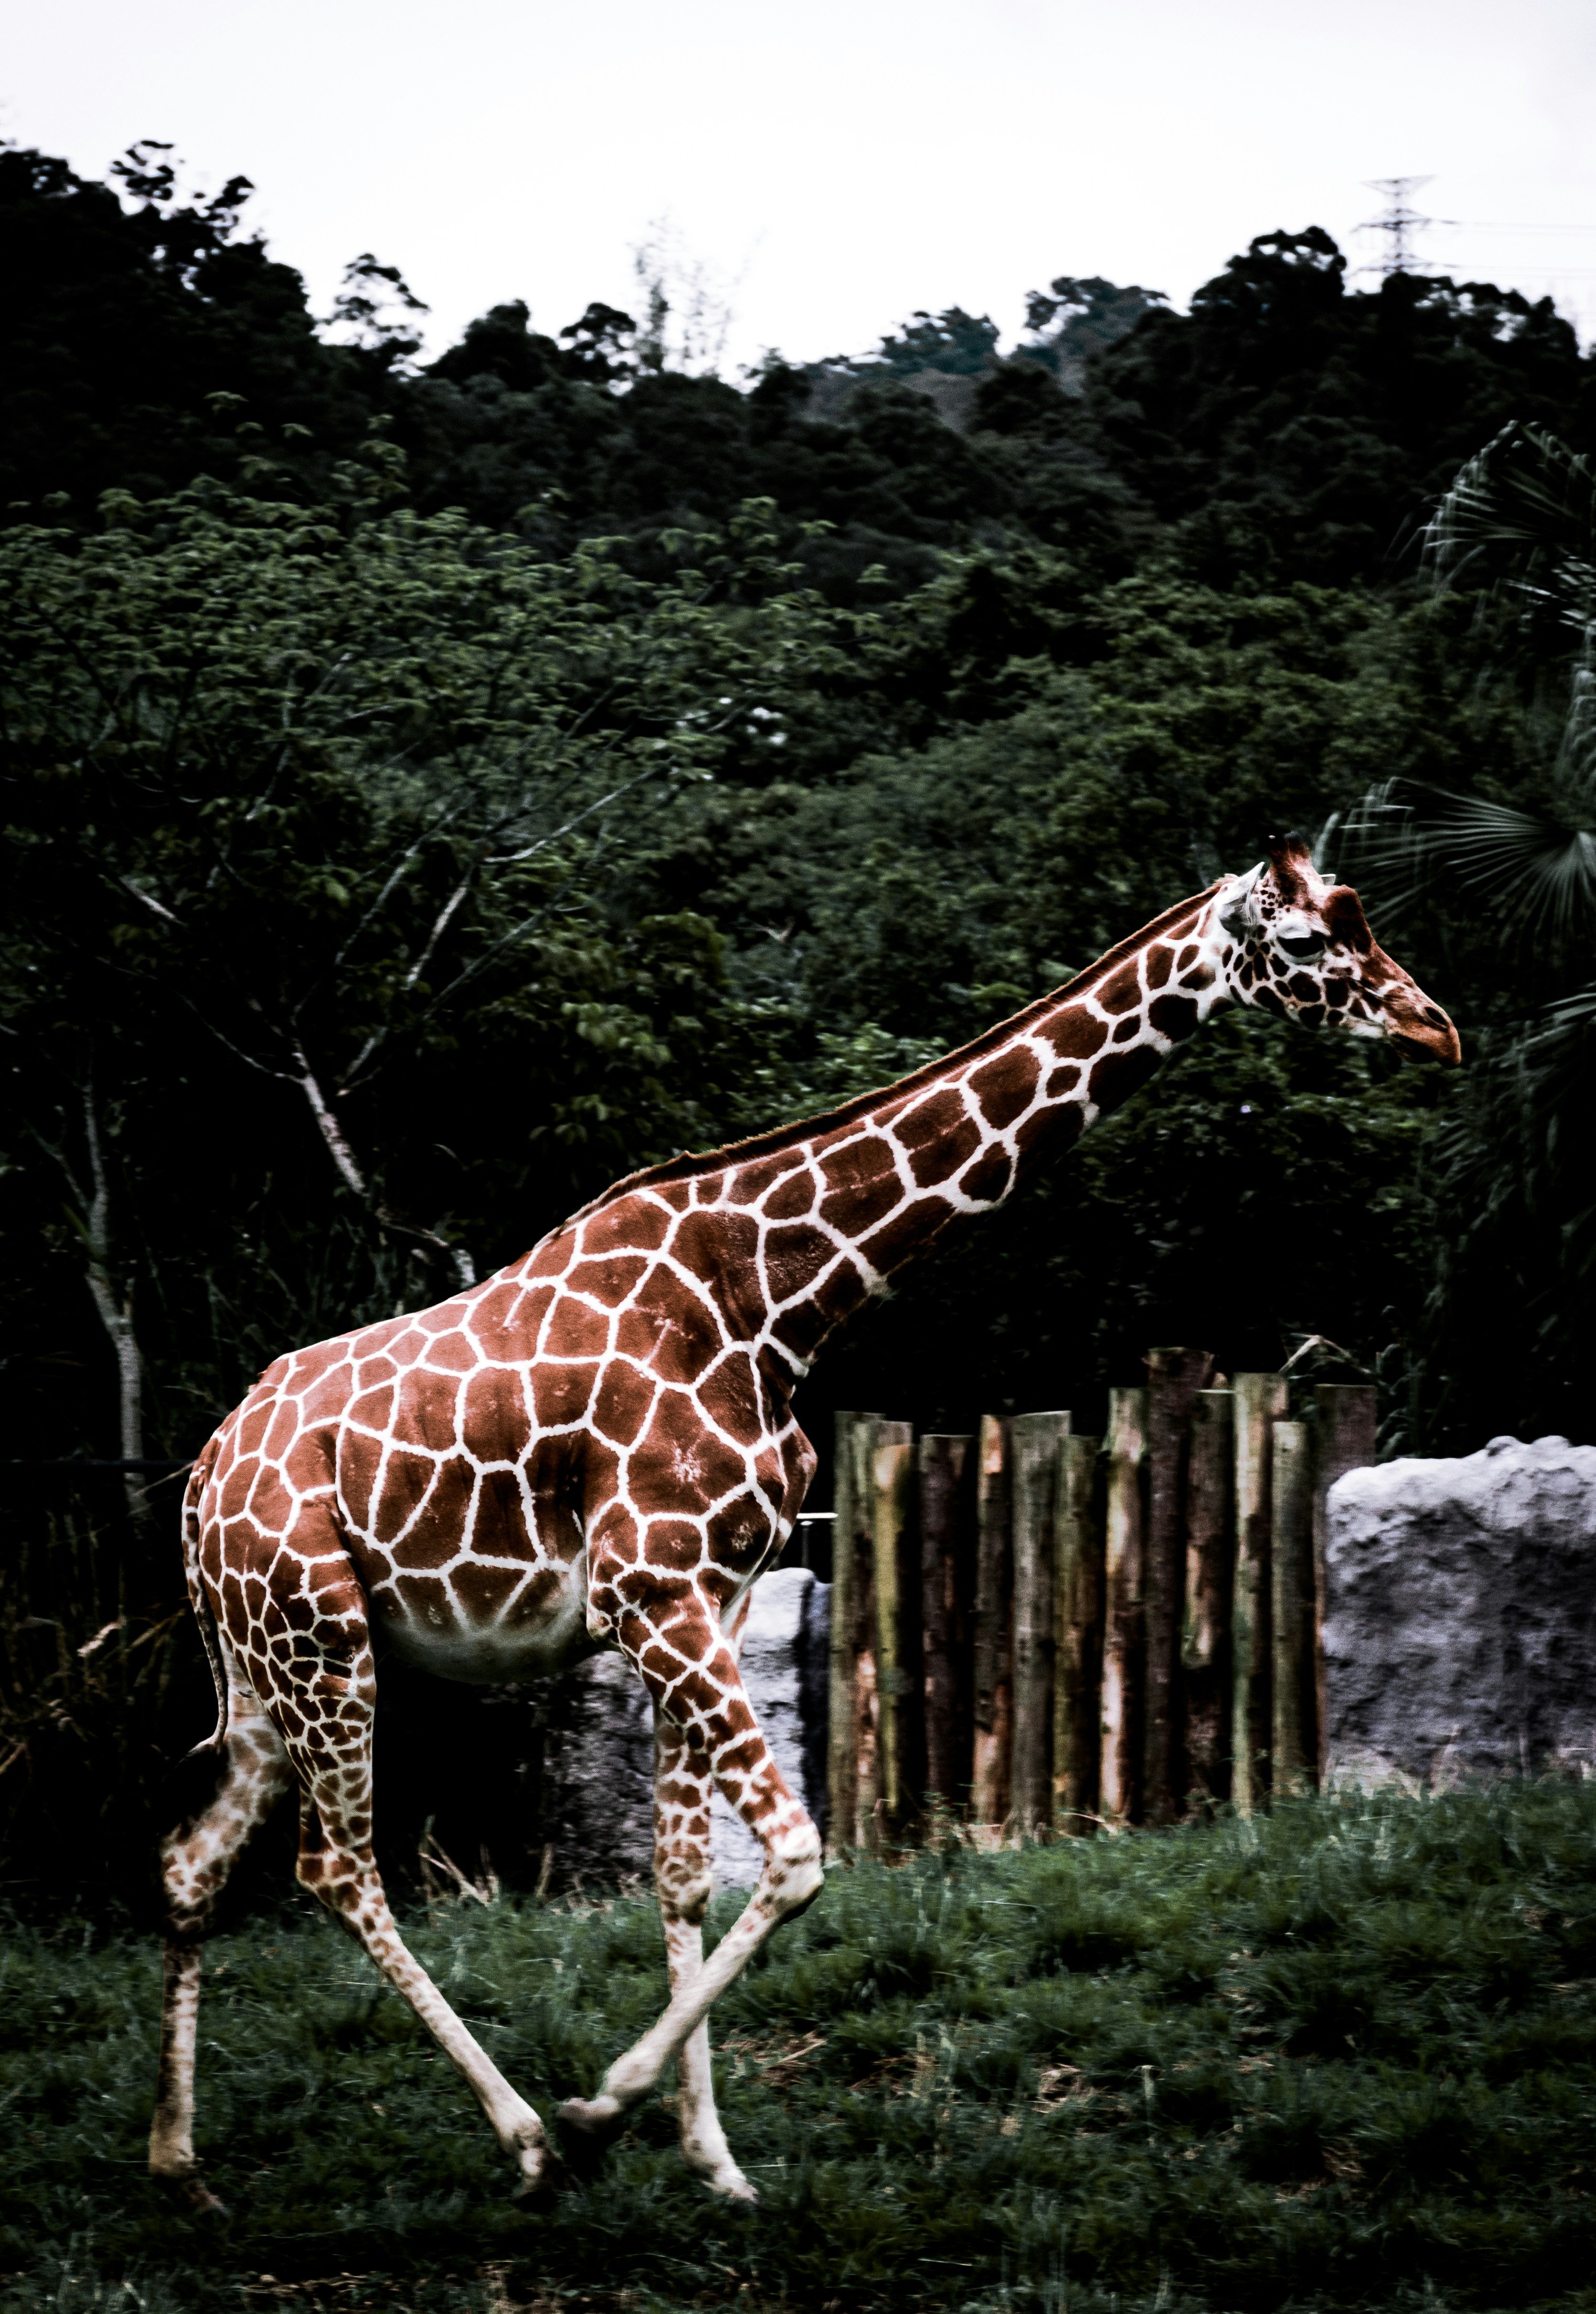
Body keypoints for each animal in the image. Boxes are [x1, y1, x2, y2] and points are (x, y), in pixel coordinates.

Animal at [150, 833, 1457, 2206]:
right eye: (1311, 940)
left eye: (1359, 915)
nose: (1439, 1027)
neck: (779, 1295)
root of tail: (199, 1483)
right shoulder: (647, 1587)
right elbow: (792, 1855)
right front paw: (603, 2108)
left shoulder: (707, 1592)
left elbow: (681, 1872)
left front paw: (714, 2160)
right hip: (324, 1639)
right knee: (335, 1866)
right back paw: (520, 2137)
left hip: (269, 1660)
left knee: (194, 1859)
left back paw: (180, 2162)